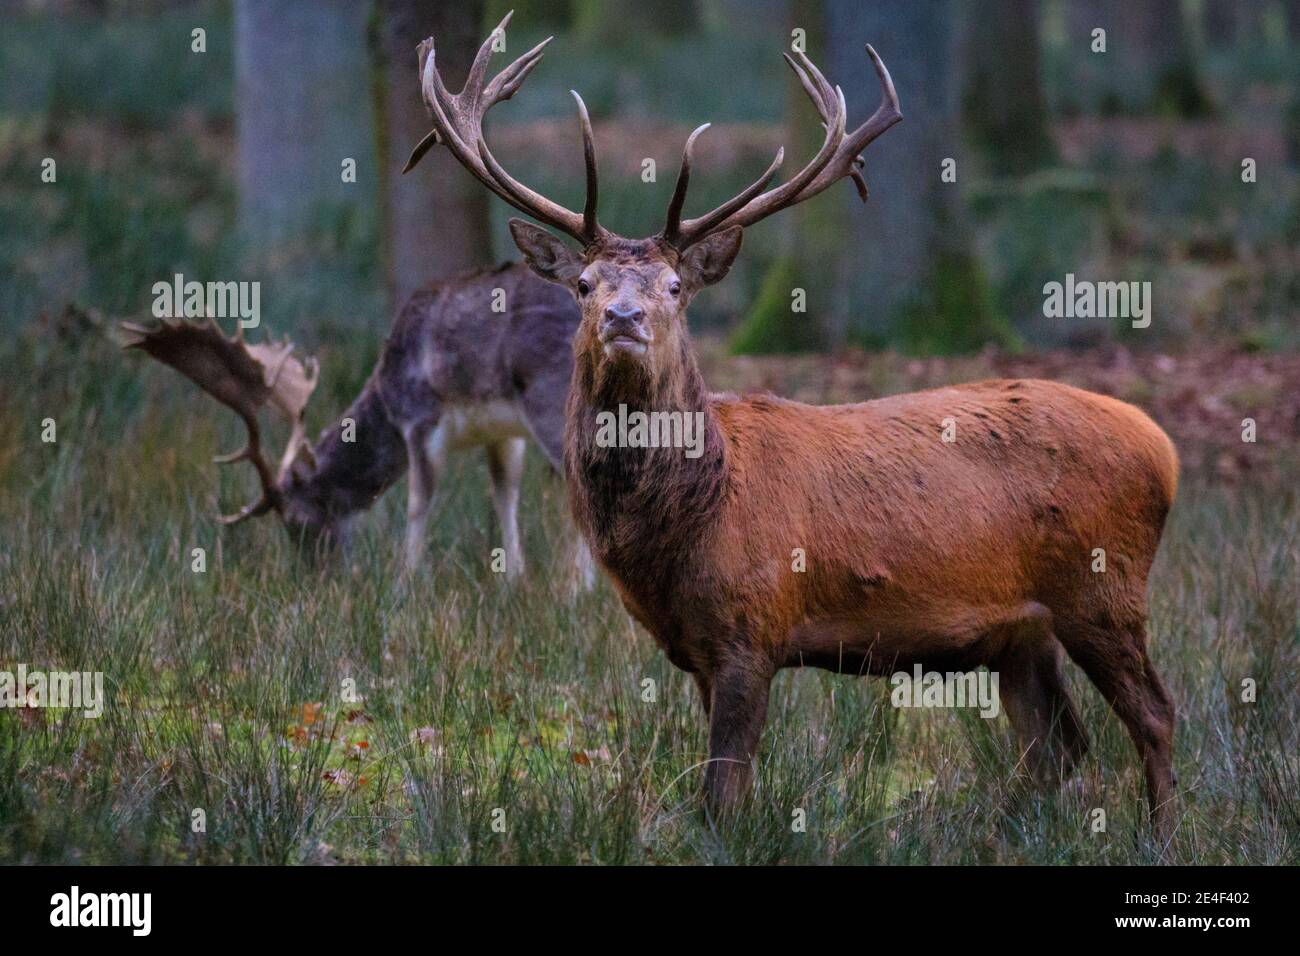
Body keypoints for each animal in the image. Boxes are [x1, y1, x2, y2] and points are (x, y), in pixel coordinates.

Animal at [122, 262, 596, 591]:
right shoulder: (501, 432)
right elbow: (504, 495)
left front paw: (406, 582)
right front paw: (513, 580)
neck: (385, 391)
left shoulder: (419, 415)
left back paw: (578, 592)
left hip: (550, 397)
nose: (319, 577)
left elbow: (418, 502)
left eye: (297, 521)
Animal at [414, 12, 1181, 839]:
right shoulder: (697, 649)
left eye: (675, 286)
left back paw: (1161, 833)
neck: (694, 512)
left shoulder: (753, 626)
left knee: (1155, 717)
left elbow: (721, 794)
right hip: (1022, 630)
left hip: (1104, 588)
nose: (623, 317)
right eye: (585, 284)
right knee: (1057, 746)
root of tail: (1164, 447)